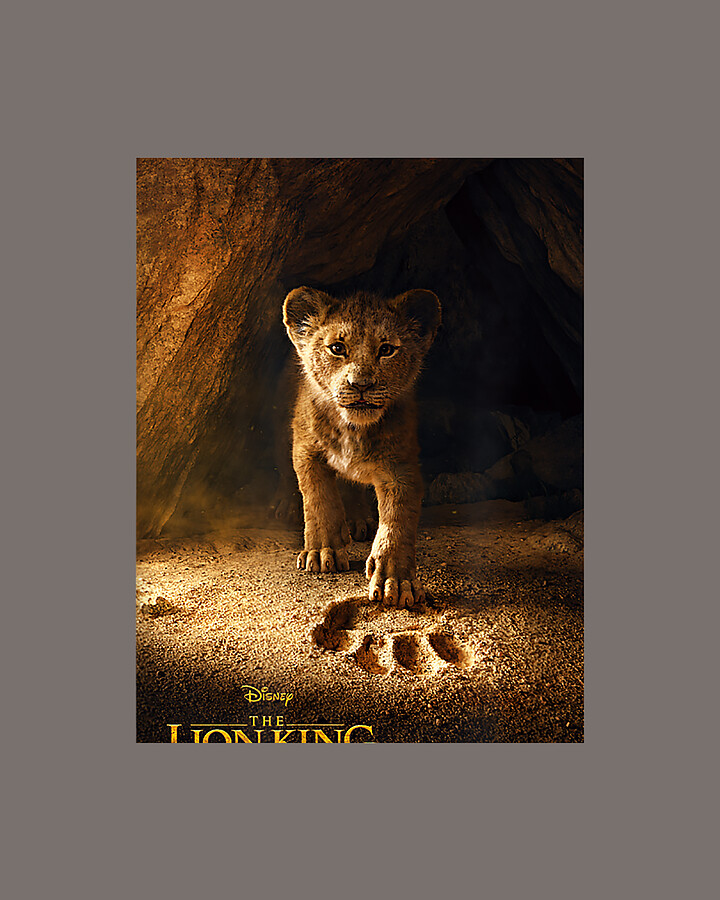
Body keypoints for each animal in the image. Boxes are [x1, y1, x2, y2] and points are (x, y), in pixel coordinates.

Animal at [283, 286, 441, 608]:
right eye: (337, 348)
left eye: (387, 349)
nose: (361, 385)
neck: (353, 429)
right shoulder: (306, 450)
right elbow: (319, 499)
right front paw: (323, 551)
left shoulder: (400, 467)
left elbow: (397, 520)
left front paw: (396, 580)